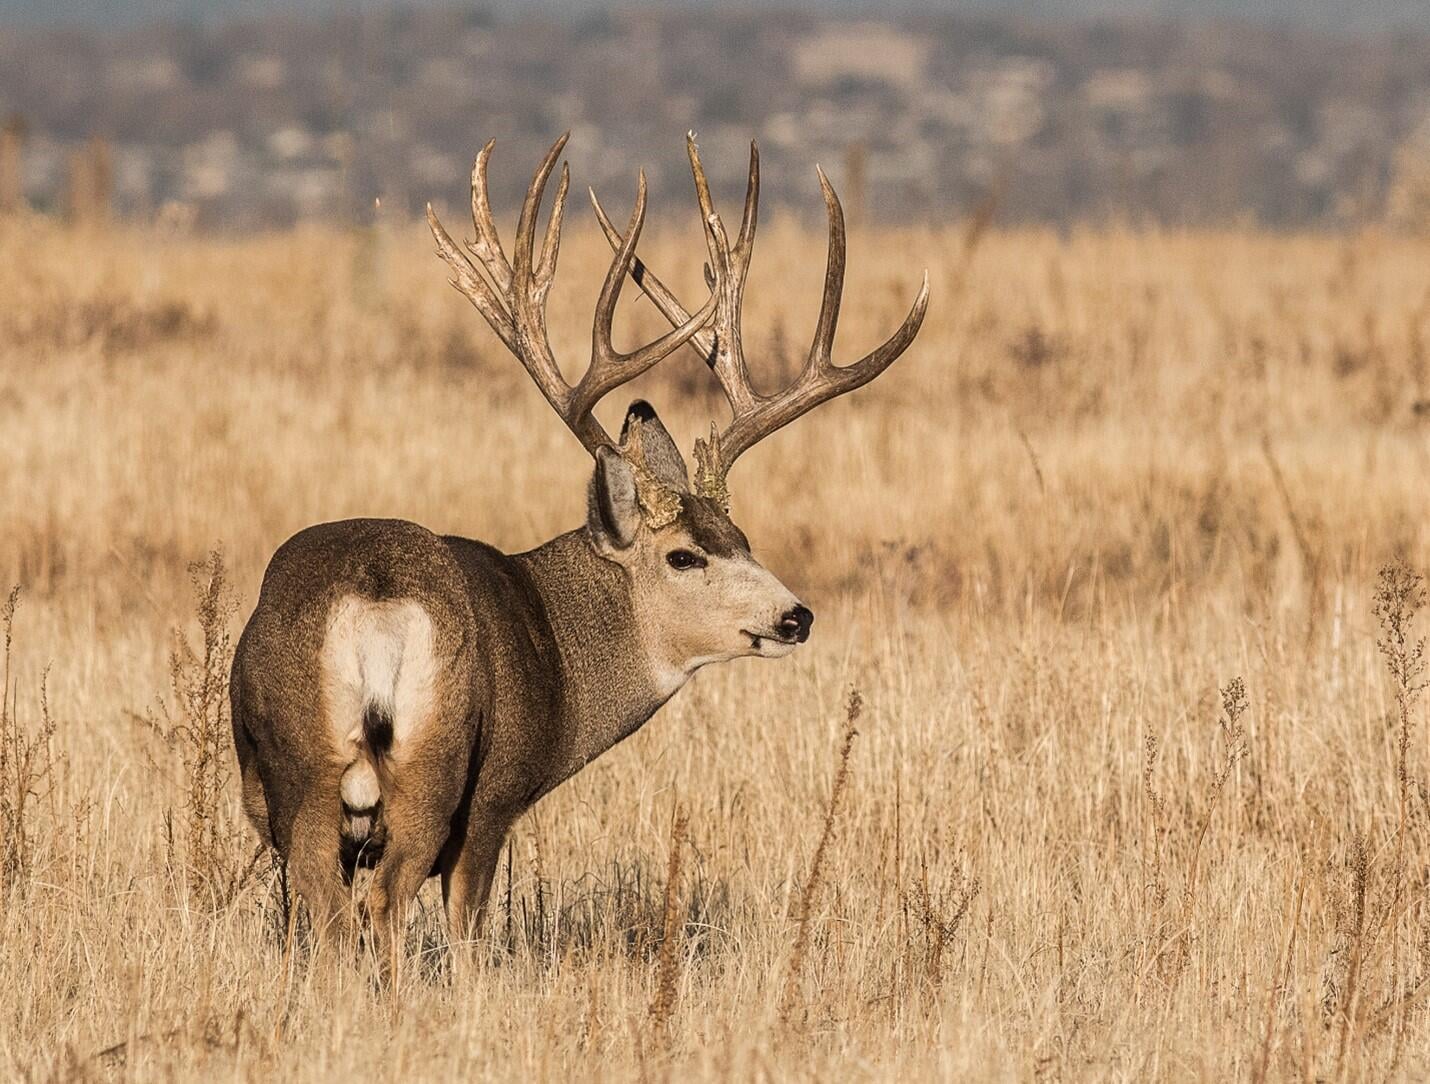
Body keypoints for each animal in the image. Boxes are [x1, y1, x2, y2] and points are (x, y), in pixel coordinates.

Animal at [229, 132, 929, 967]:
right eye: (685, 555)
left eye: (743, 538)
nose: (796, 617)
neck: (558, 647)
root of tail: (371, 597)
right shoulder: (498, 795)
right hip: (436, 769)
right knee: (386, 904)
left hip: (293, 769)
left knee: (324, 907)